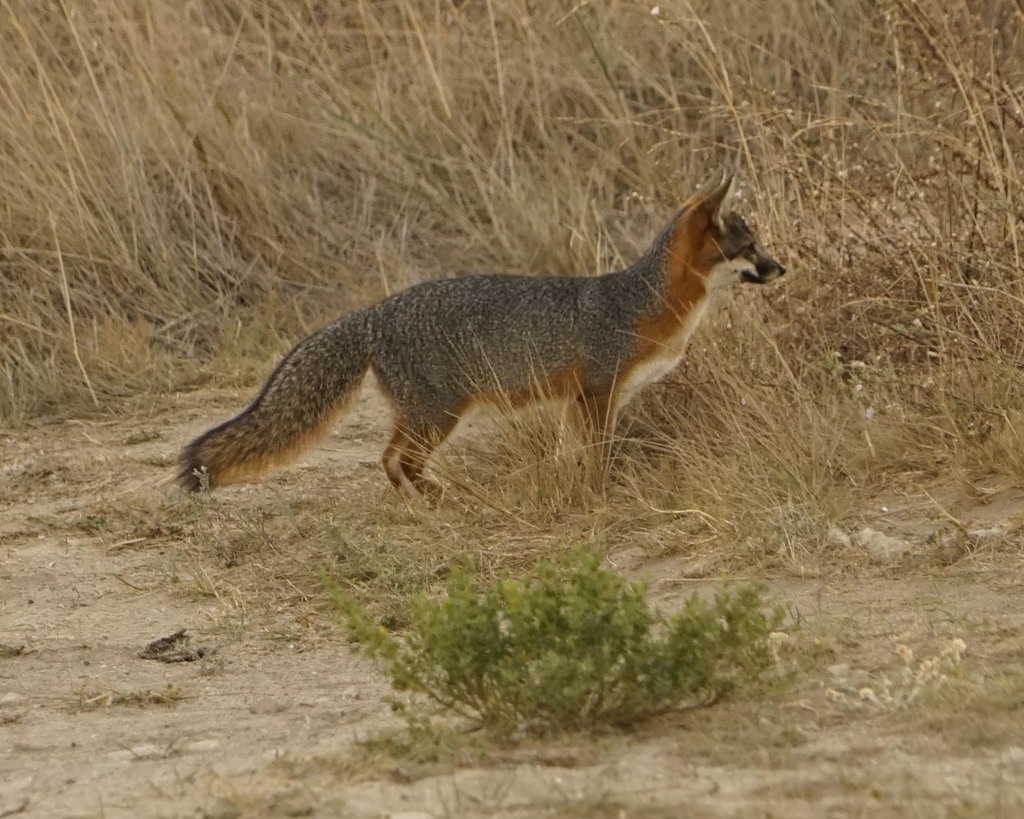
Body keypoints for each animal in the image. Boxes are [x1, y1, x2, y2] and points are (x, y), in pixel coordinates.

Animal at [178, 173, 784, 497]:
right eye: (751, 247)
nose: (782, 267)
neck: (641, 302)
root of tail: (372, 313)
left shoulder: (579, 402)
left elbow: (574, 456)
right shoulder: (596, 394)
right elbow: (597, 457)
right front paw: (601, 493)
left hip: (426, 415)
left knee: (390, 459)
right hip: (439, 414)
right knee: (394, 459)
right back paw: (434, 496)